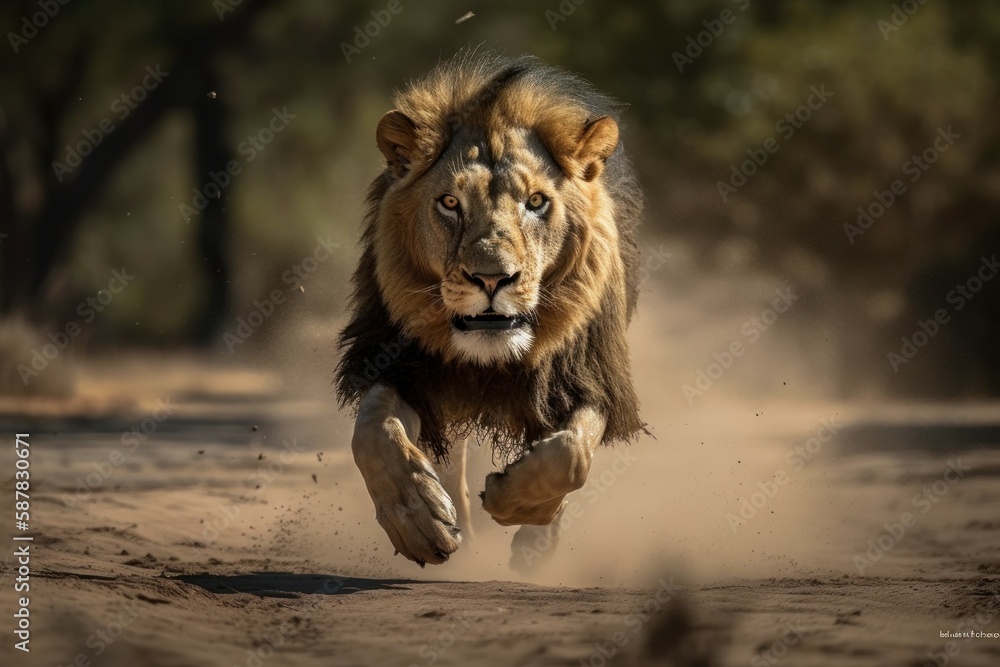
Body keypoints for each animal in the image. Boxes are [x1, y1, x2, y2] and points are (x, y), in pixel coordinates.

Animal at [335, 51, 644, 567]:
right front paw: (417, 519)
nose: (492, 279)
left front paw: (514, 504)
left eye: (536, 202)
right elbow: (375, 433)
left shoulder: (587, 375)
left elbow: (572, 454)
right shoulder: (398, 362)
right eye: (450, 202)